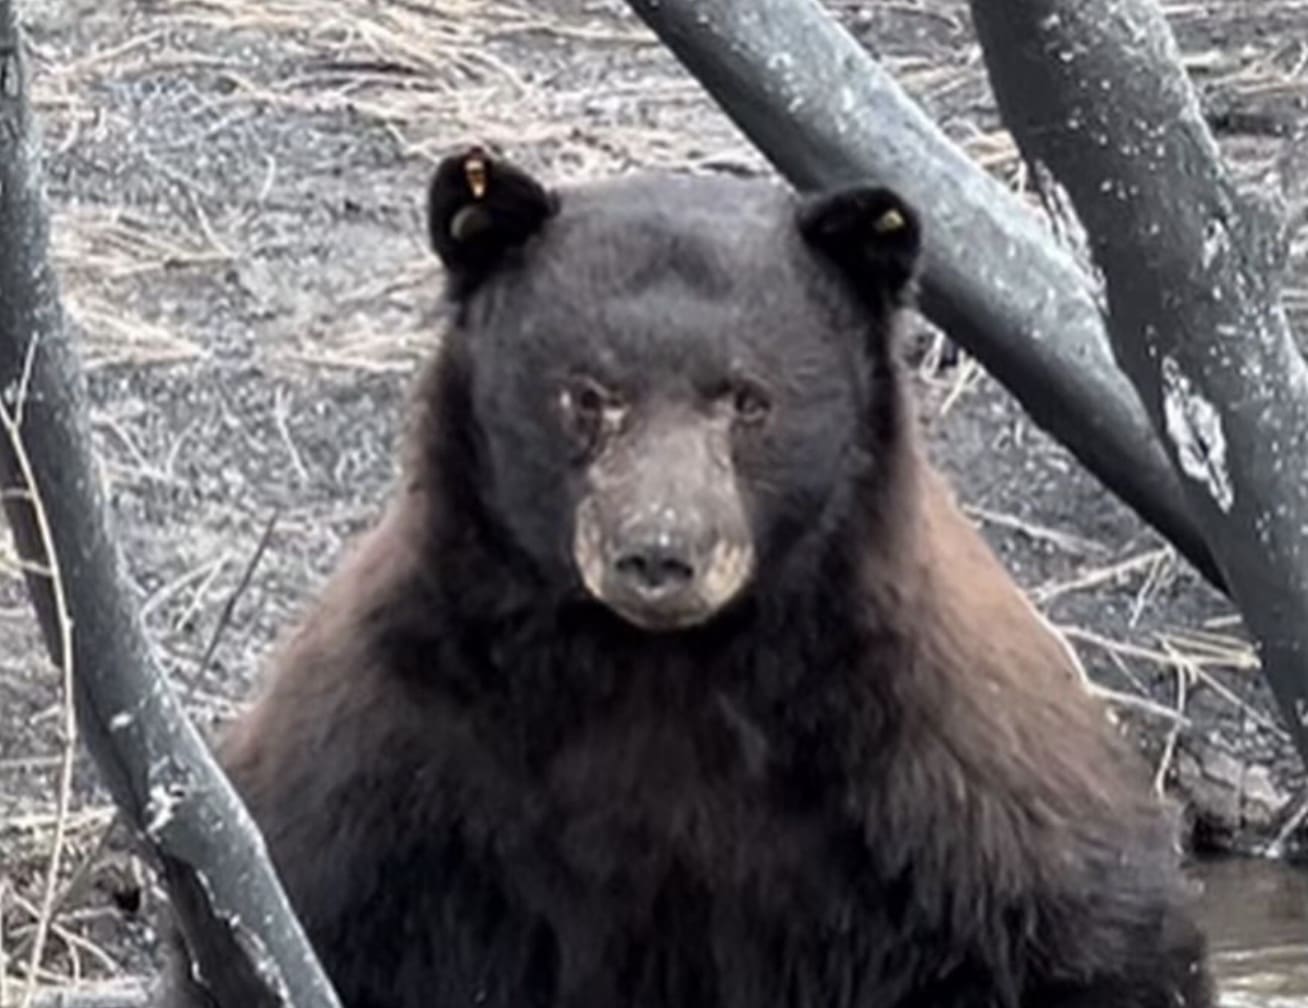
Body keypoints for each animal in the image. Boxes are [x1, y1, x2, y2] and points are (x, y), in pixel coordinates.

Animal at [160, 147, 1214, 1008]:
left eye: (747, 399)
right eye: (587, 393)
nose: (659, 553)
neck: (664, 676)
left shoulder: (934, 772)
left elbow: (1086, 941)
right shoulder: (402, 751)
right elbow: (303, 916)